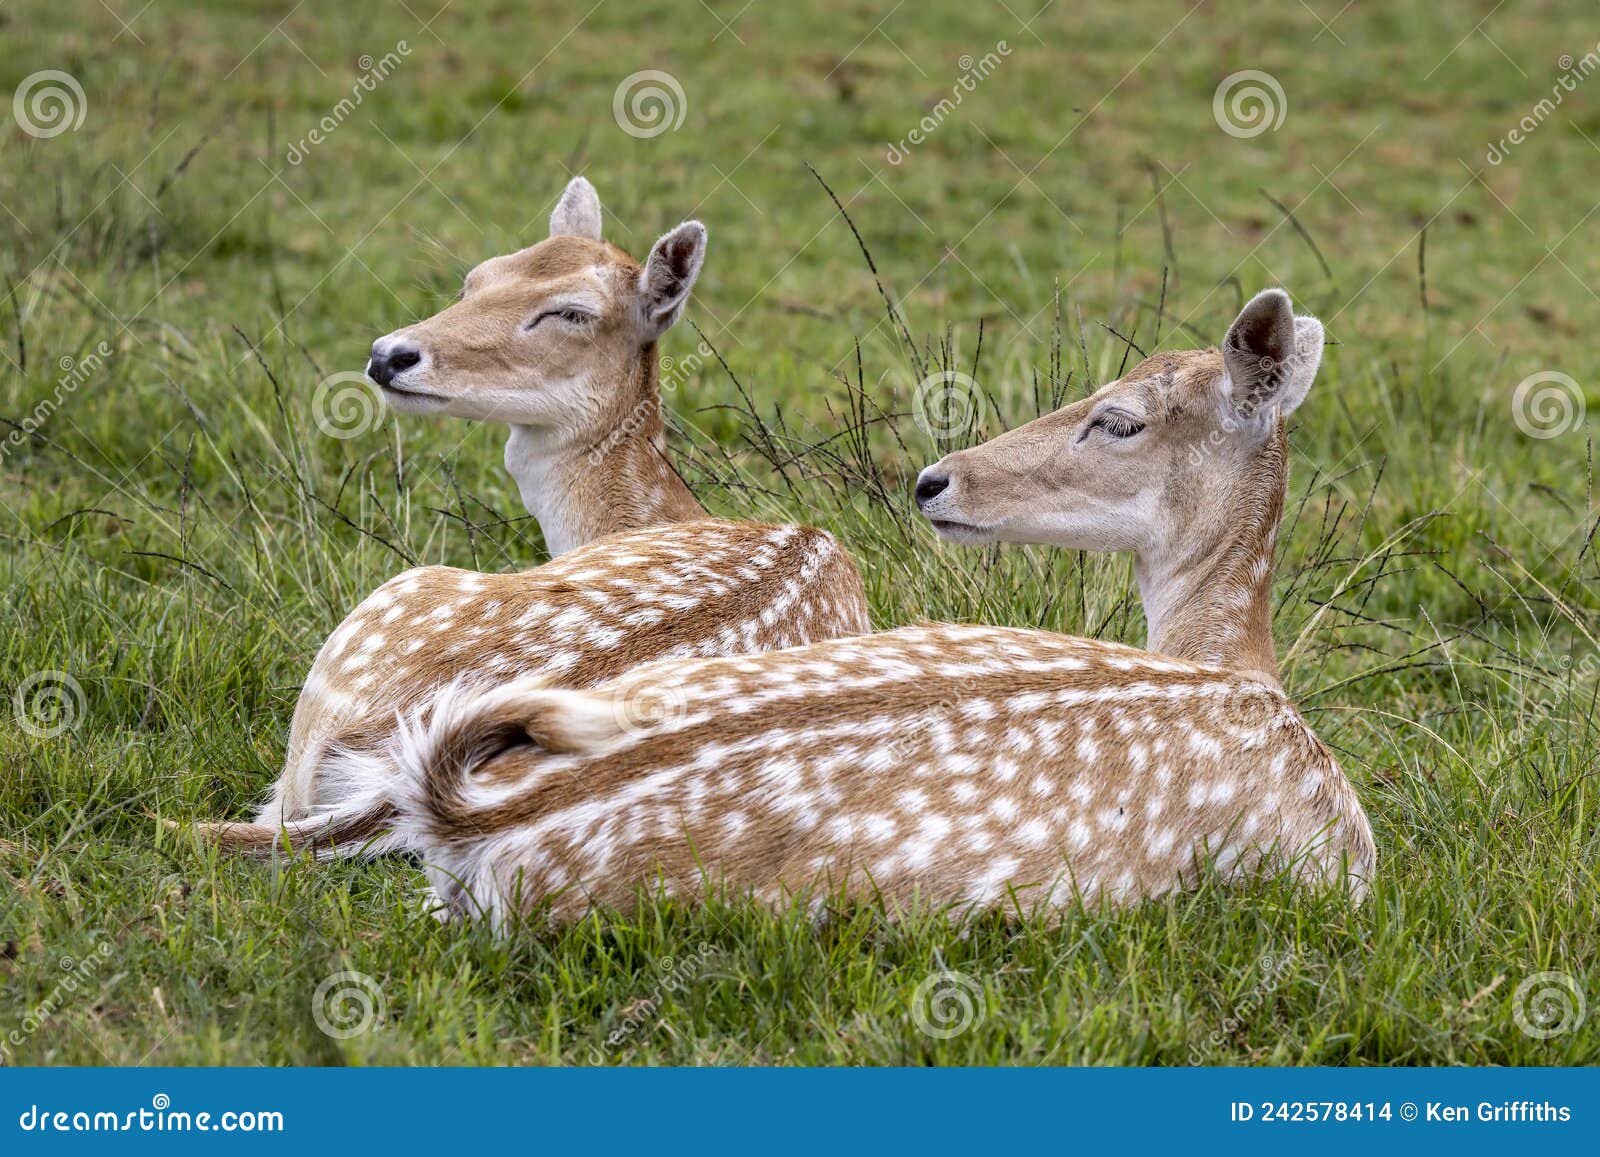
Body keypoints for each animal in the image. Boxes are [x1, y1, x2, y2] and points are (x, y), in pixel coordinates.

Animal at [181, 177, 870, 858]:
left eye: (570, 311)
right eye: (476, 278)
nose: (388, 354)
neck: (656, 514)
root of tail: (391, 778)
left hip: (383, 610)